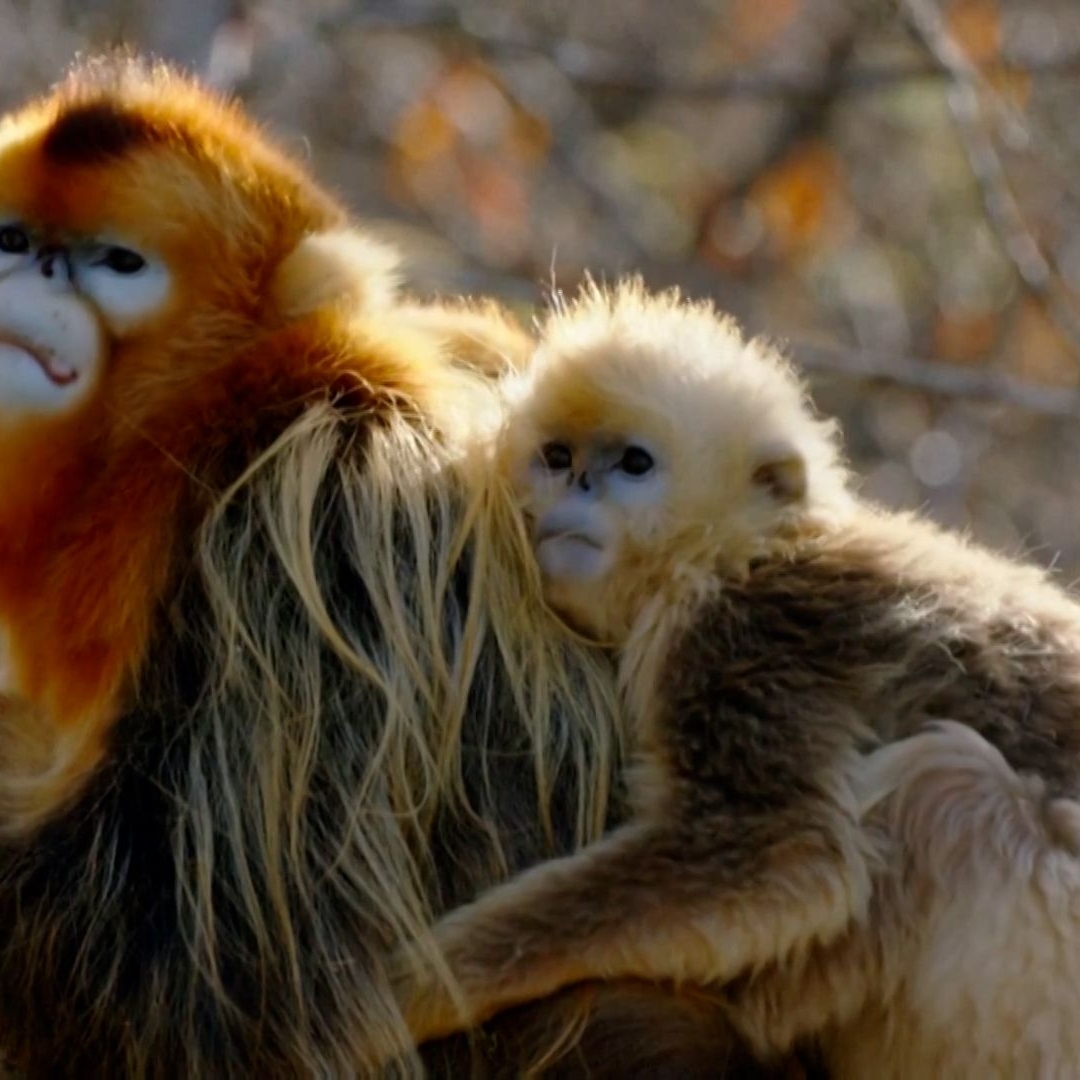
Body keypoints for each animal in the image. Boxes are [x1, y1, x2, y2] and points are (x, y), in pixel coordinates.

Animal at [0, 58, 809, 1078]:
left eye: (116, 263)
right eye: (12, 237)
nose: (35, 265)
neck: (190, 433)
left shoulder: (311, 529)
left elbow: (211, 973)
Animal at [397, 280, 1080, 1077]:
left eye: (634, 464)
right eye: (557, 456)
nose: (579, 485)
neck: (736, 552)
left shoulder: (738, 641)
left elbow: (780, 857)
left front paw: (402, 995)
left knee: (940, 788)